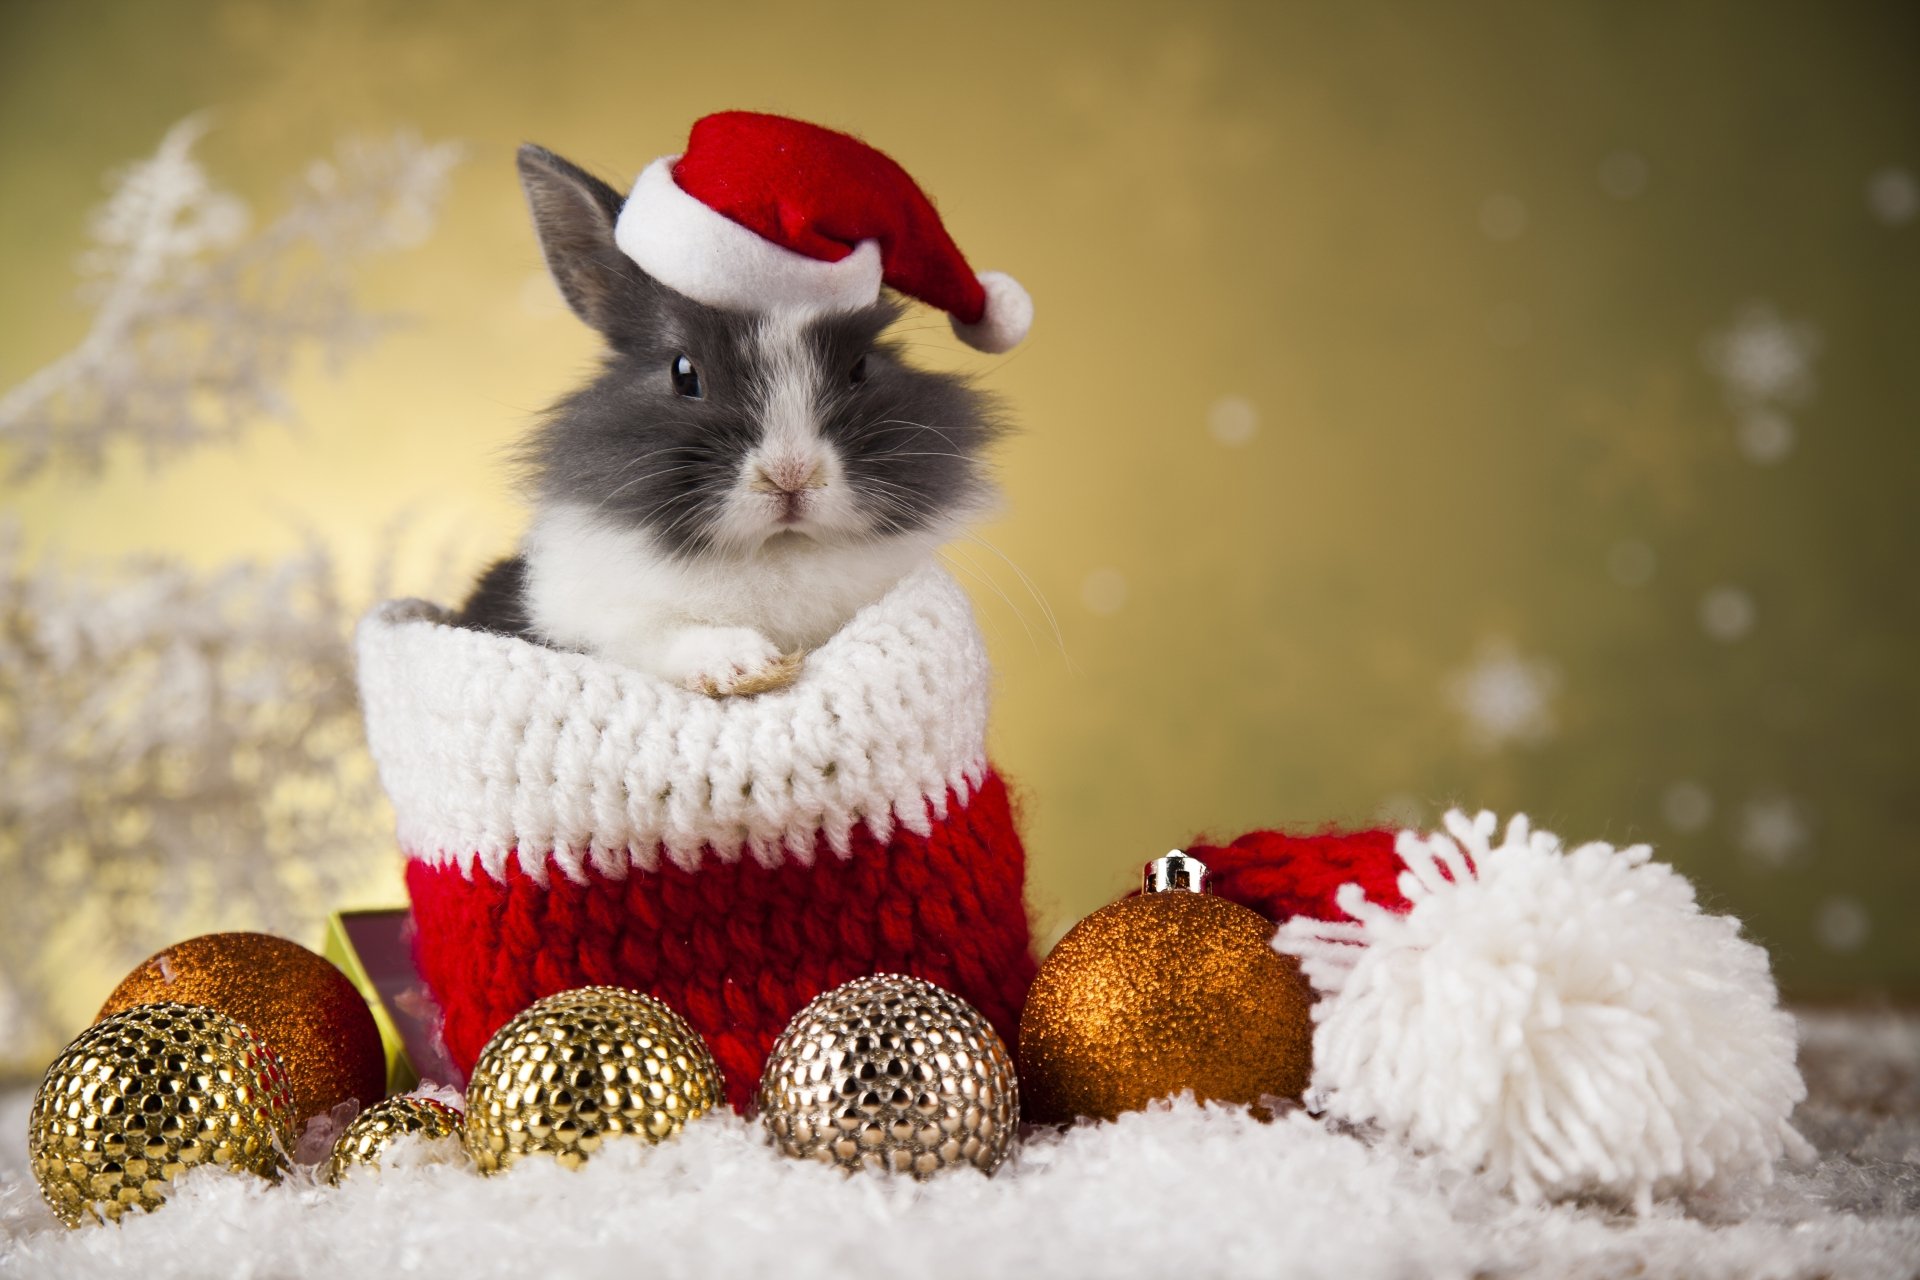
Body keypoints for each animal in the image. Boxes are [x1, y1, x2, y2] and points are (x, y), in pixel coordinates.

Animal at [456, 144, 1008, 695]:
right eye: (683, 372)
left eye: (861, 366)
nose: (790, 474)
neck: (776, 549)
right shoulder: (593, 619)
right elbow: (658, 636)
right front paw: (745, 665)